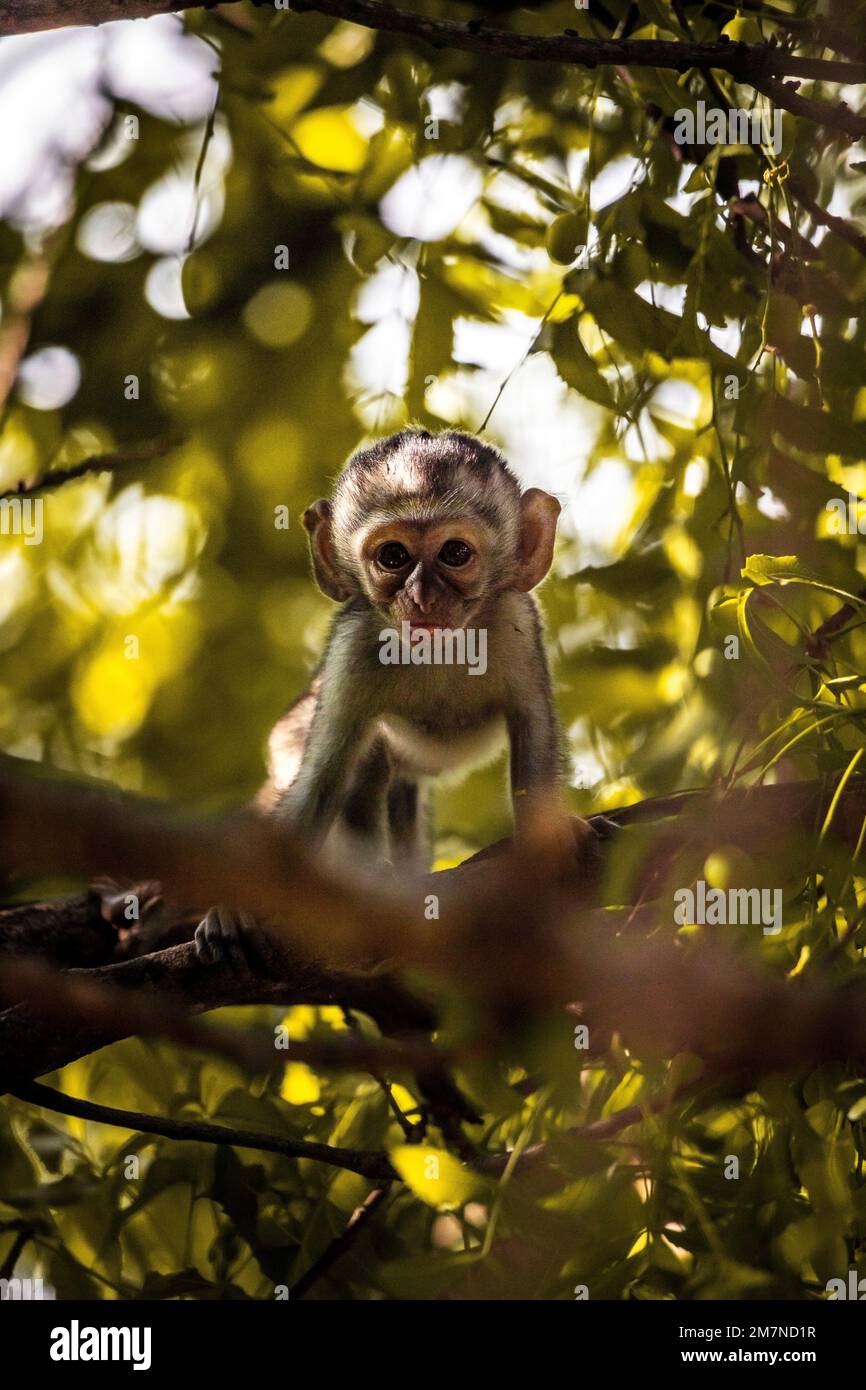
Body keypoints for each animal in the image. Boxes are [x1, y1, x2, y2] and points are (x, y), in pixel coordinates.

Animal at [194, 425, 567, 967]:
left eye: (455, 553)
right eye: (394, 557)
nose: (423, 598)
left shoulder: (516, 622)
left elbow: (532, 725)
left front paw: (550, 841)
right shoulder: (354, 648)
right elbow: (324, 777)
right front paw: (238, 906)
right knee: (365, 764)